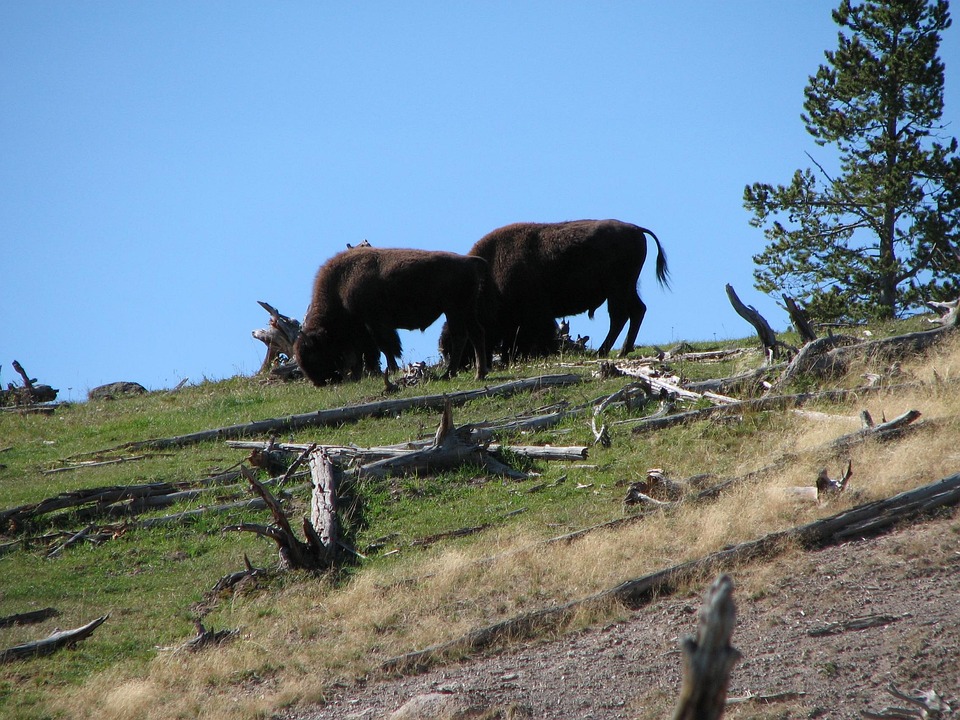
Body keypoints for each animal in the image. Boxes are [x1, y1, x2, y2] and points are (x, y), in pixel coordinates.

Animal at [294, 247, 489, 385]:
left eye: (313, 355)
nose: (320, 383)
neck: (341, 284)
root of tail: (468, 261)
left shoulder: (373, 325)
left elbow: (384, 348)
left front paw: (391, 370)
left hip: (454, 310)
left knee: (460, 337)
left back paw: (450, 374)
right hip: (465, 310)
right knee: (476, 334)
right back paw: (479, 374)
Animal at [442, 219, 668, 364]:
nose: (460, 365)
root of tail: (636, 229)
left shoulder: (535, 315)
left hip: (617, 290)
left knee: (619, 316)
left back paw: (606, 351)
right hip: (627, 288)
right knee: (637, 310)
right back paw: (622, 349)